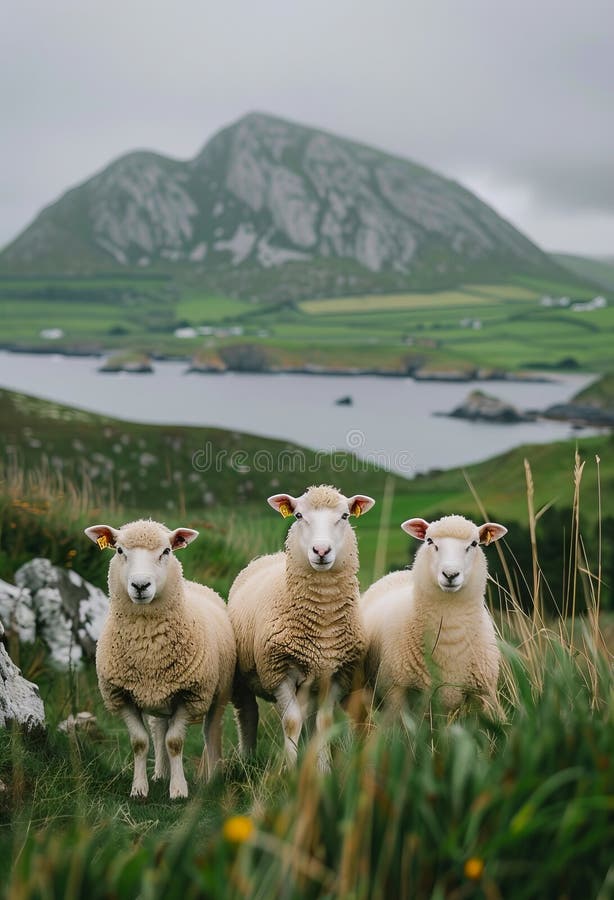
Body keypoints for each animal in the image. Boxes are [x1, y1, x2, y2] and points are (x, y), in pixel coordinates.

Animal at [84, 519, 235, 800]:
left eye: (166, 551)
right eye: (119, 550)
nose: (141, 586)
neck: (148, 647)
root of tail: (196, 584)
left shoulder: (189, 694)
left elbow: (175, 742)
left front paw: (178, 790)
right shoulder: (122, 695)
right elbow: (140, 742)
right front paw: (139, 788)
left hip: (218, 692)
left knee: (211, 731)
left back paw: (213, 776)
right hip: (162, 699)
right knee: (158, 730)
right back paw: (160, 774)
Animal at [228, 485, 375, 769]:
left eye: (344, 516)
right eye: (298, 515)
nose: (321, 550)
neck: (323, 622)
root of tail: (269, 556)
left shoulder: (335, 674)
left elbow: (324, 723)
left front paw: (323, 770)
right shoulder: (278, 671)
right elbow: (291, 722)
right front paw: (289, 769)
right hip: (241, 674)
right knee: (247, 713)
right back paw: (246, 759)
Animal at [361, 515, 507, 716]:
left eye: (474, 543)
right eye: (430, 541)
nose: (450, 574)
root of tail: (398, 572)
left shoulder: (486, 691)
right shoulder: (395, 691)